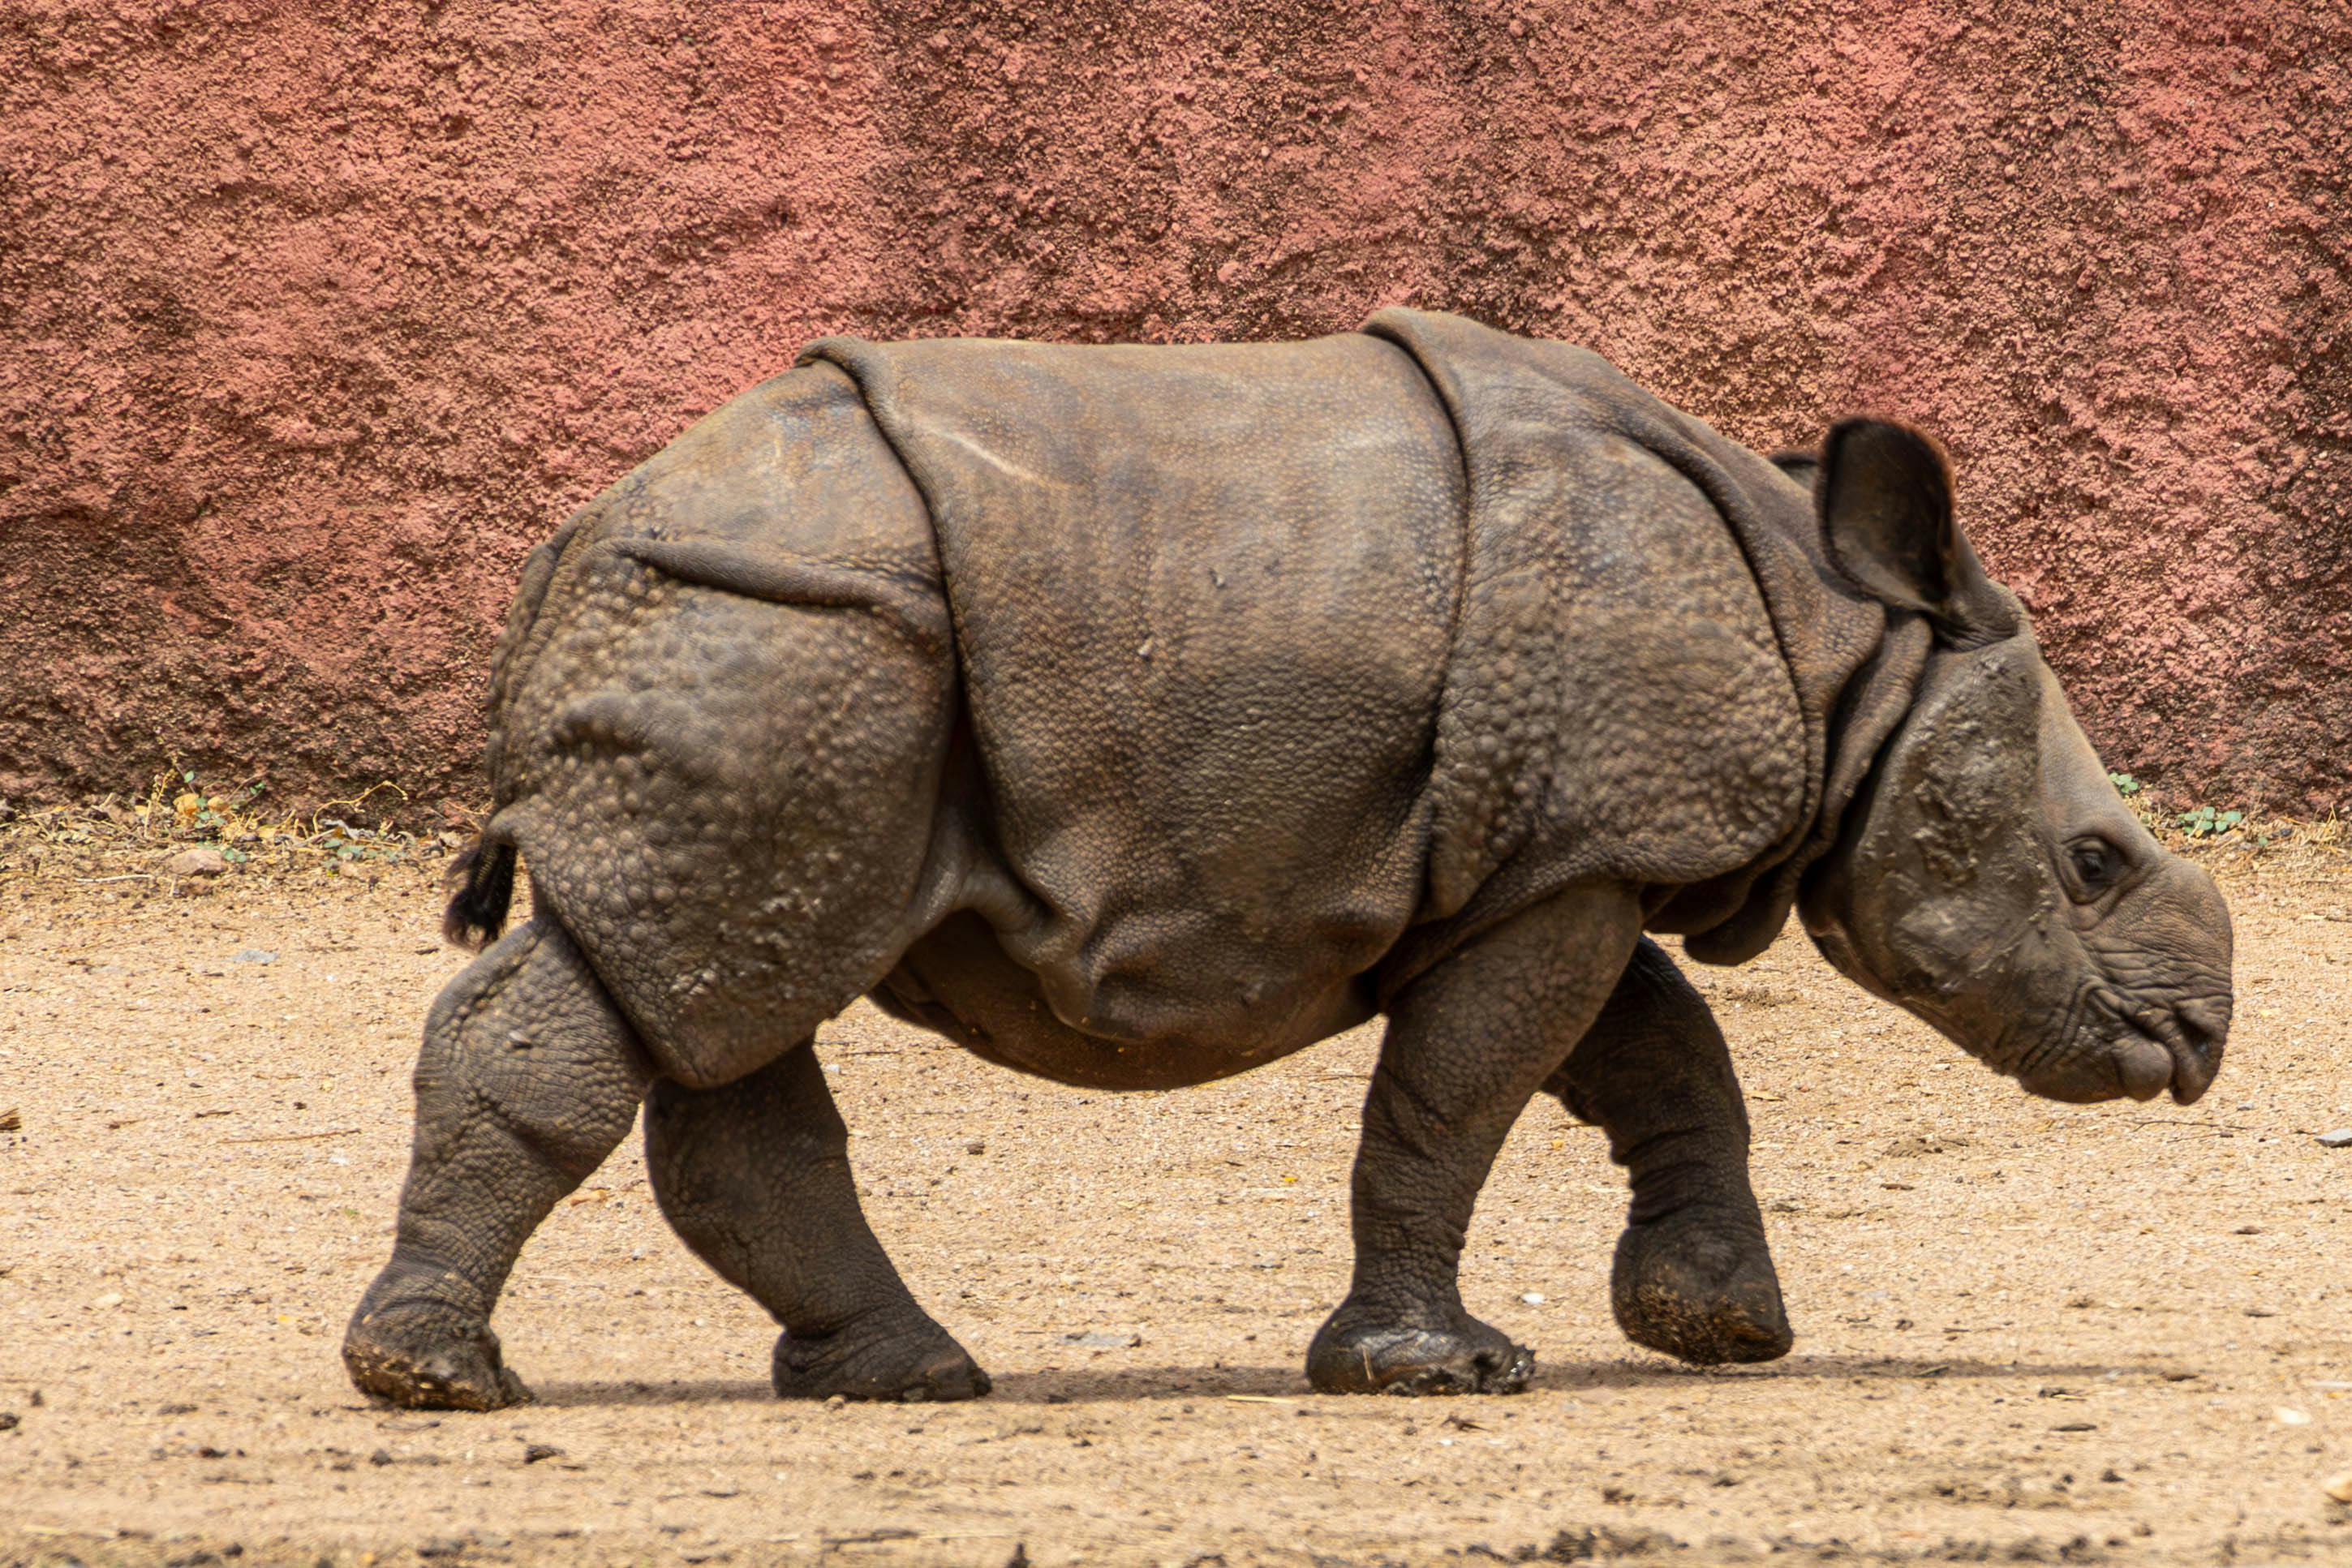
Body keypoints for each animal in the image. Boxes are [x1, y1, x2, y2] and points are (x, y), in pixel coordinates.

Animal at [345, 309, 2234, 1409]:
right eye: (2090, 860)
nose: (2202, 1035)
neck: (1845, 650)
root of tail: (575, 542)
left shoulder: (1562, 844)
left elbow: (1660, 1056)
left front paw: (1722, 1329)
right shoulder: (1579, 846)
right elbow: (1458, 1098)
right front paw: (1440, 1370)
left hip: (782, 649)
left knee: (722, 988)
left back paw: (903, 1378)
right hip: (789, 630)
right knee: (686, 978)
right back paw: (444, 1384)